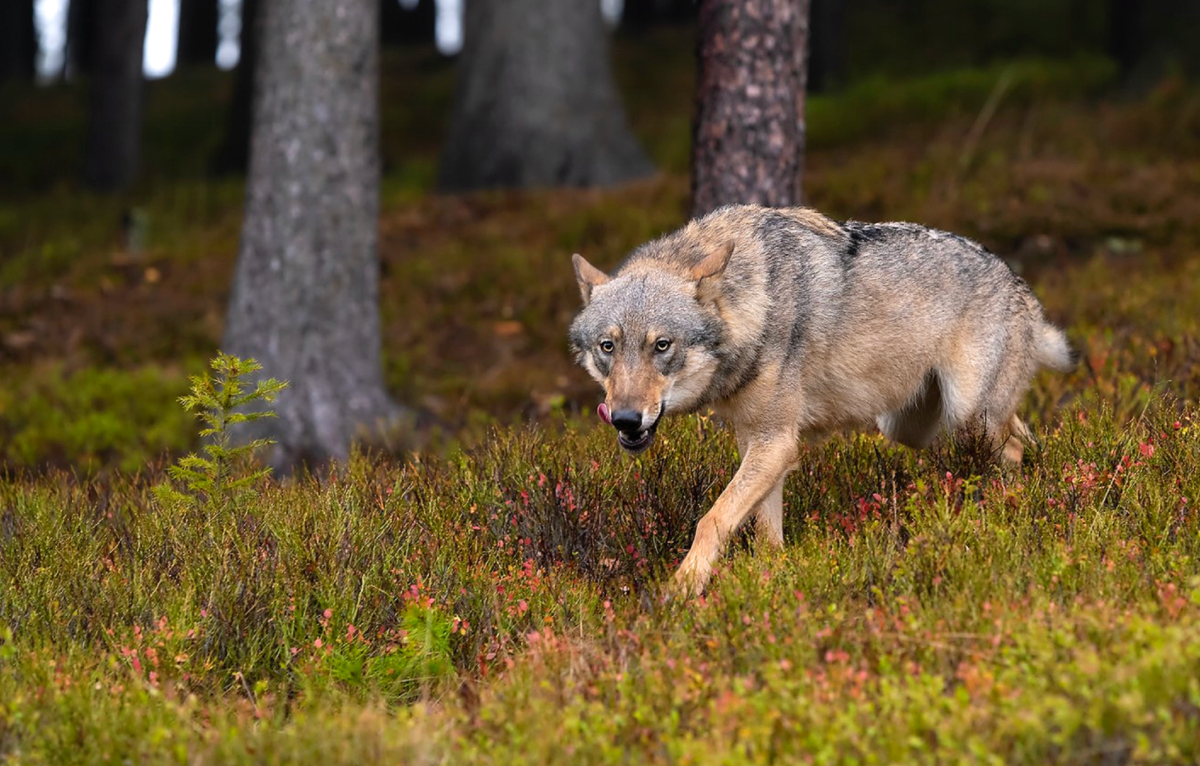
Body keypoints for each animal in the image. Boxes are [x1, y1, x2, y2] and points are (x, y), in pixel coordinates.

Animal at [566, 204, 1075, 600]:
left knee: (1012, 446)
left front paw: (681, 590)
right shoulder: (761, 441)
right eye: (607, 347)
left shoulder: (776, 443)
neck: (754, 302)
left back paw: (1009, 504)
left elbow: (711, 520)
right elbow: (762, 532)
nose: (625, 419)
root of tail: (1019, 284)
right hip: (910, 427)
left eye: (662, 345)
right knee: (1023, 431)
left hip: (968, 415)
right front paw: (772, 577)